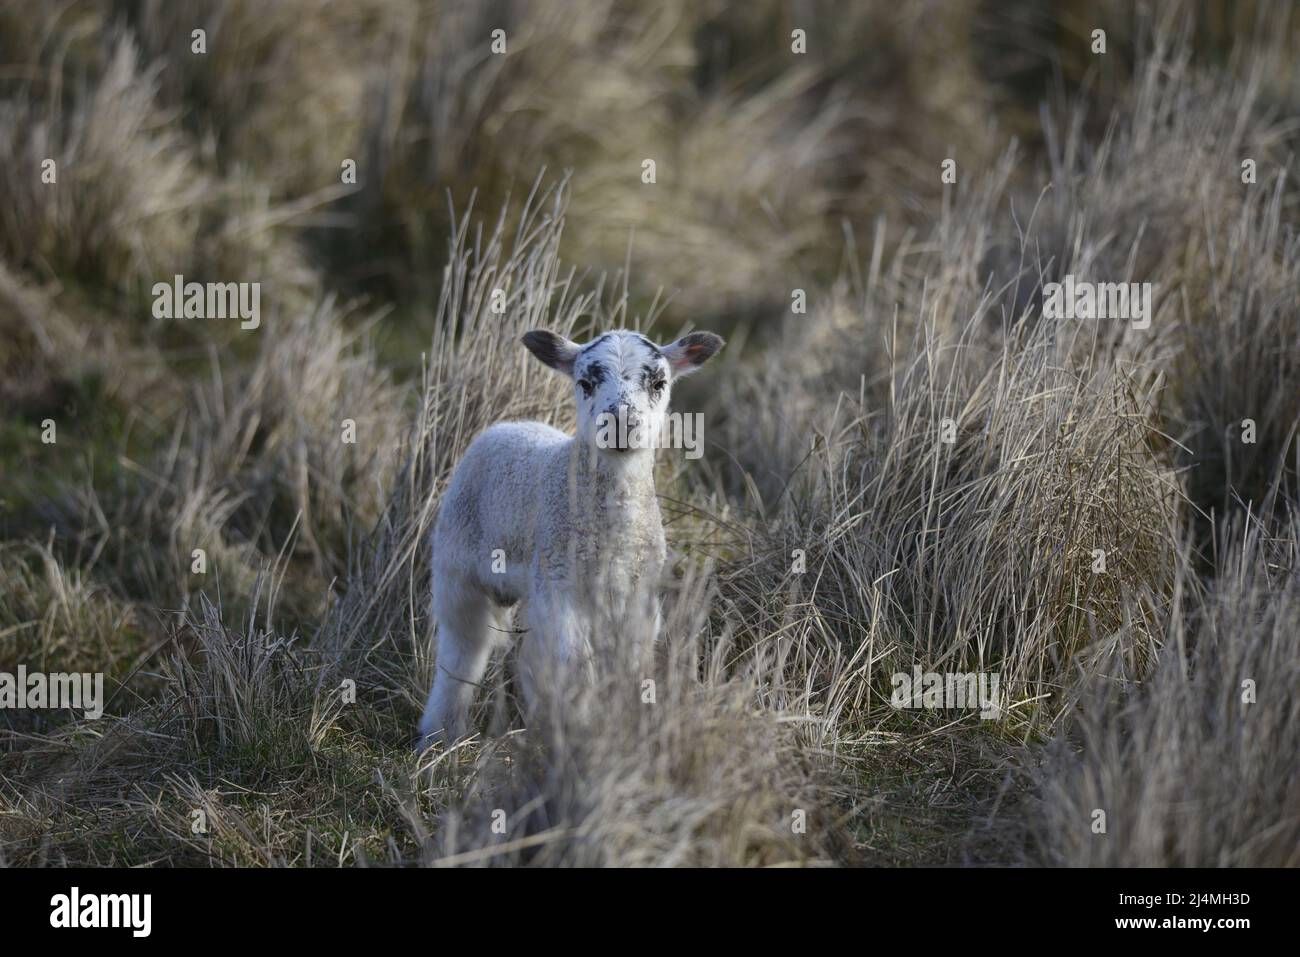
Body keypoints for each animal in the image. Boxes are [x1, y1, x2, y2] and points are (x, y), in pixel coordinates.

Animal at [418, 328, 724, 748]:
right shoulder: (559, 584)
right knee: (463, 649)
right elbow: (575, 664)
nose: (621, 423)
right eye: (585, 382)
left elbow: (628, 664)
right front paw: (583, 731)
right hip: (456, 567)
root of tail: (510, 424)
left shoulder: (638, 595)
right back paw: (439, 733)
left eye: (659, 383)